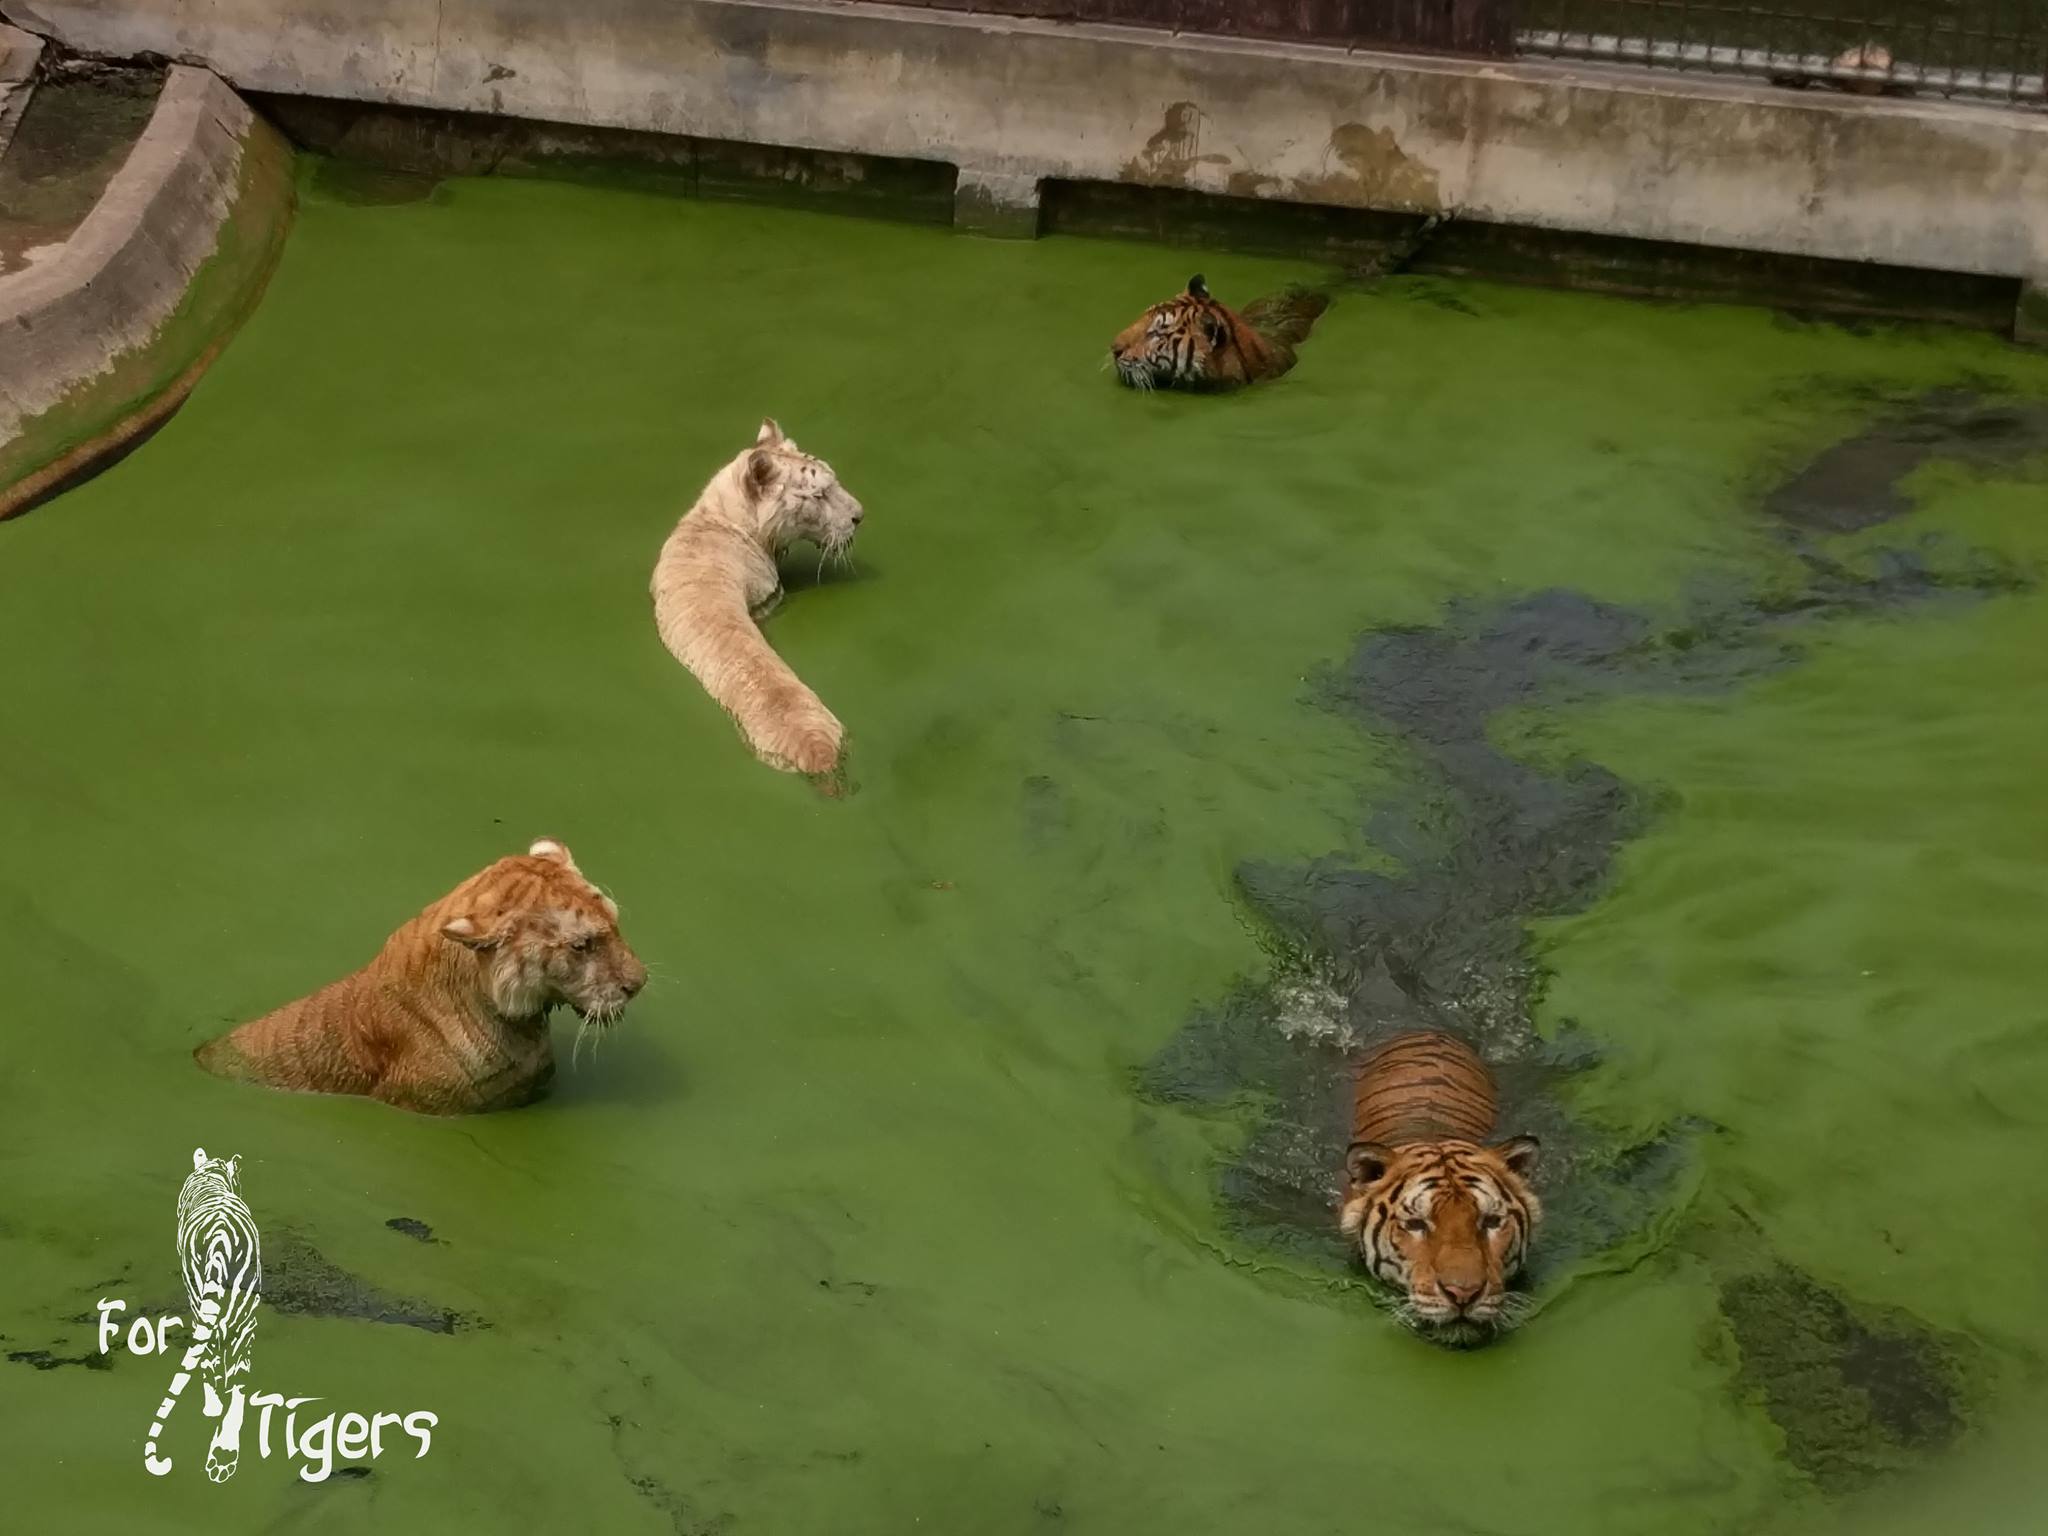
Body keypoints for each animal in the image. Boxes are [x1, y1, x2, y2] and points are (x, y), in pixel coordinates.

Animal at [144, 1148, 262, 1481]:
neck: (211, 1174)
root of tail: (221, 1240)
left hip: (208, 1306)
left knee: (214, 1363)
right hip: (242, 1313)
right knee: (237, 1380)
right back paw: (225, 1451)